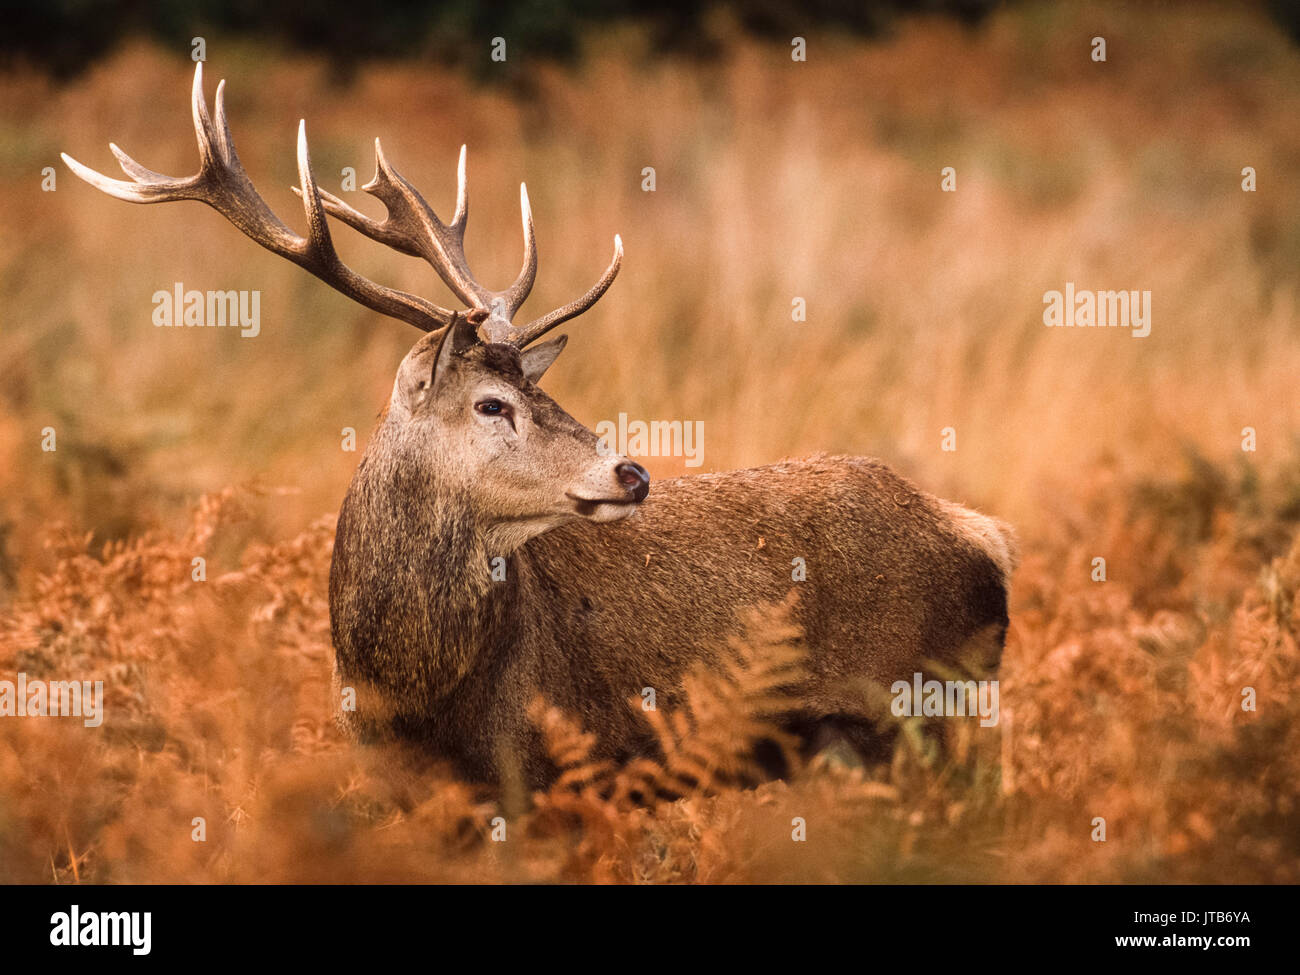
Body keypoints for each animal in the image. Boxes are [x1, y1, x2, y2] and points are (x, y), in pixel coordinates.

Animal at [63, 64, 1018, 788]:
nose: (633, 472)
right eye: (493, 403)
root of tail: (986, 533)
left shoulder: (539, 774)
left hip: (922, 713)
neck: (411, 693)